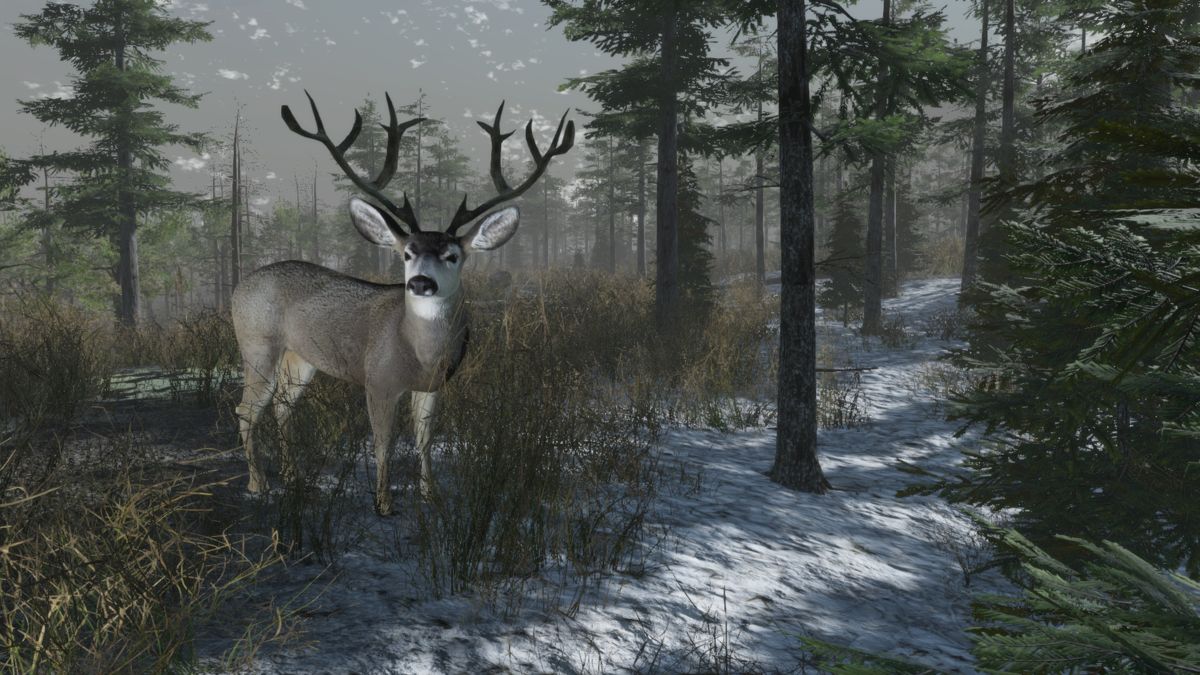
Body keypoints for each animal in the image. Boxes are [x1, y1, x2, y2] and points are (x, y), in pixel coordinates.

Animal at [231, 91, 574, 515]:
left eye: (452, 255)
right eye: (407, 253)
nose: (421, 282)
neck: (419, 351)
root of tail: (238, 287)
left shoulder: (432, 386)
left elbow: (424, 439)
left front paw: (432, 495)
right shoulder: (378, 380)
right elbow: (383, 443)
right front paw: (384, 503)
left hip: (301, 357)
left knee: (282, 406)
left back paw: (292, 477)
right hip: (257, 345)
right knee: (246, 409)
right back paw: (258, 483)